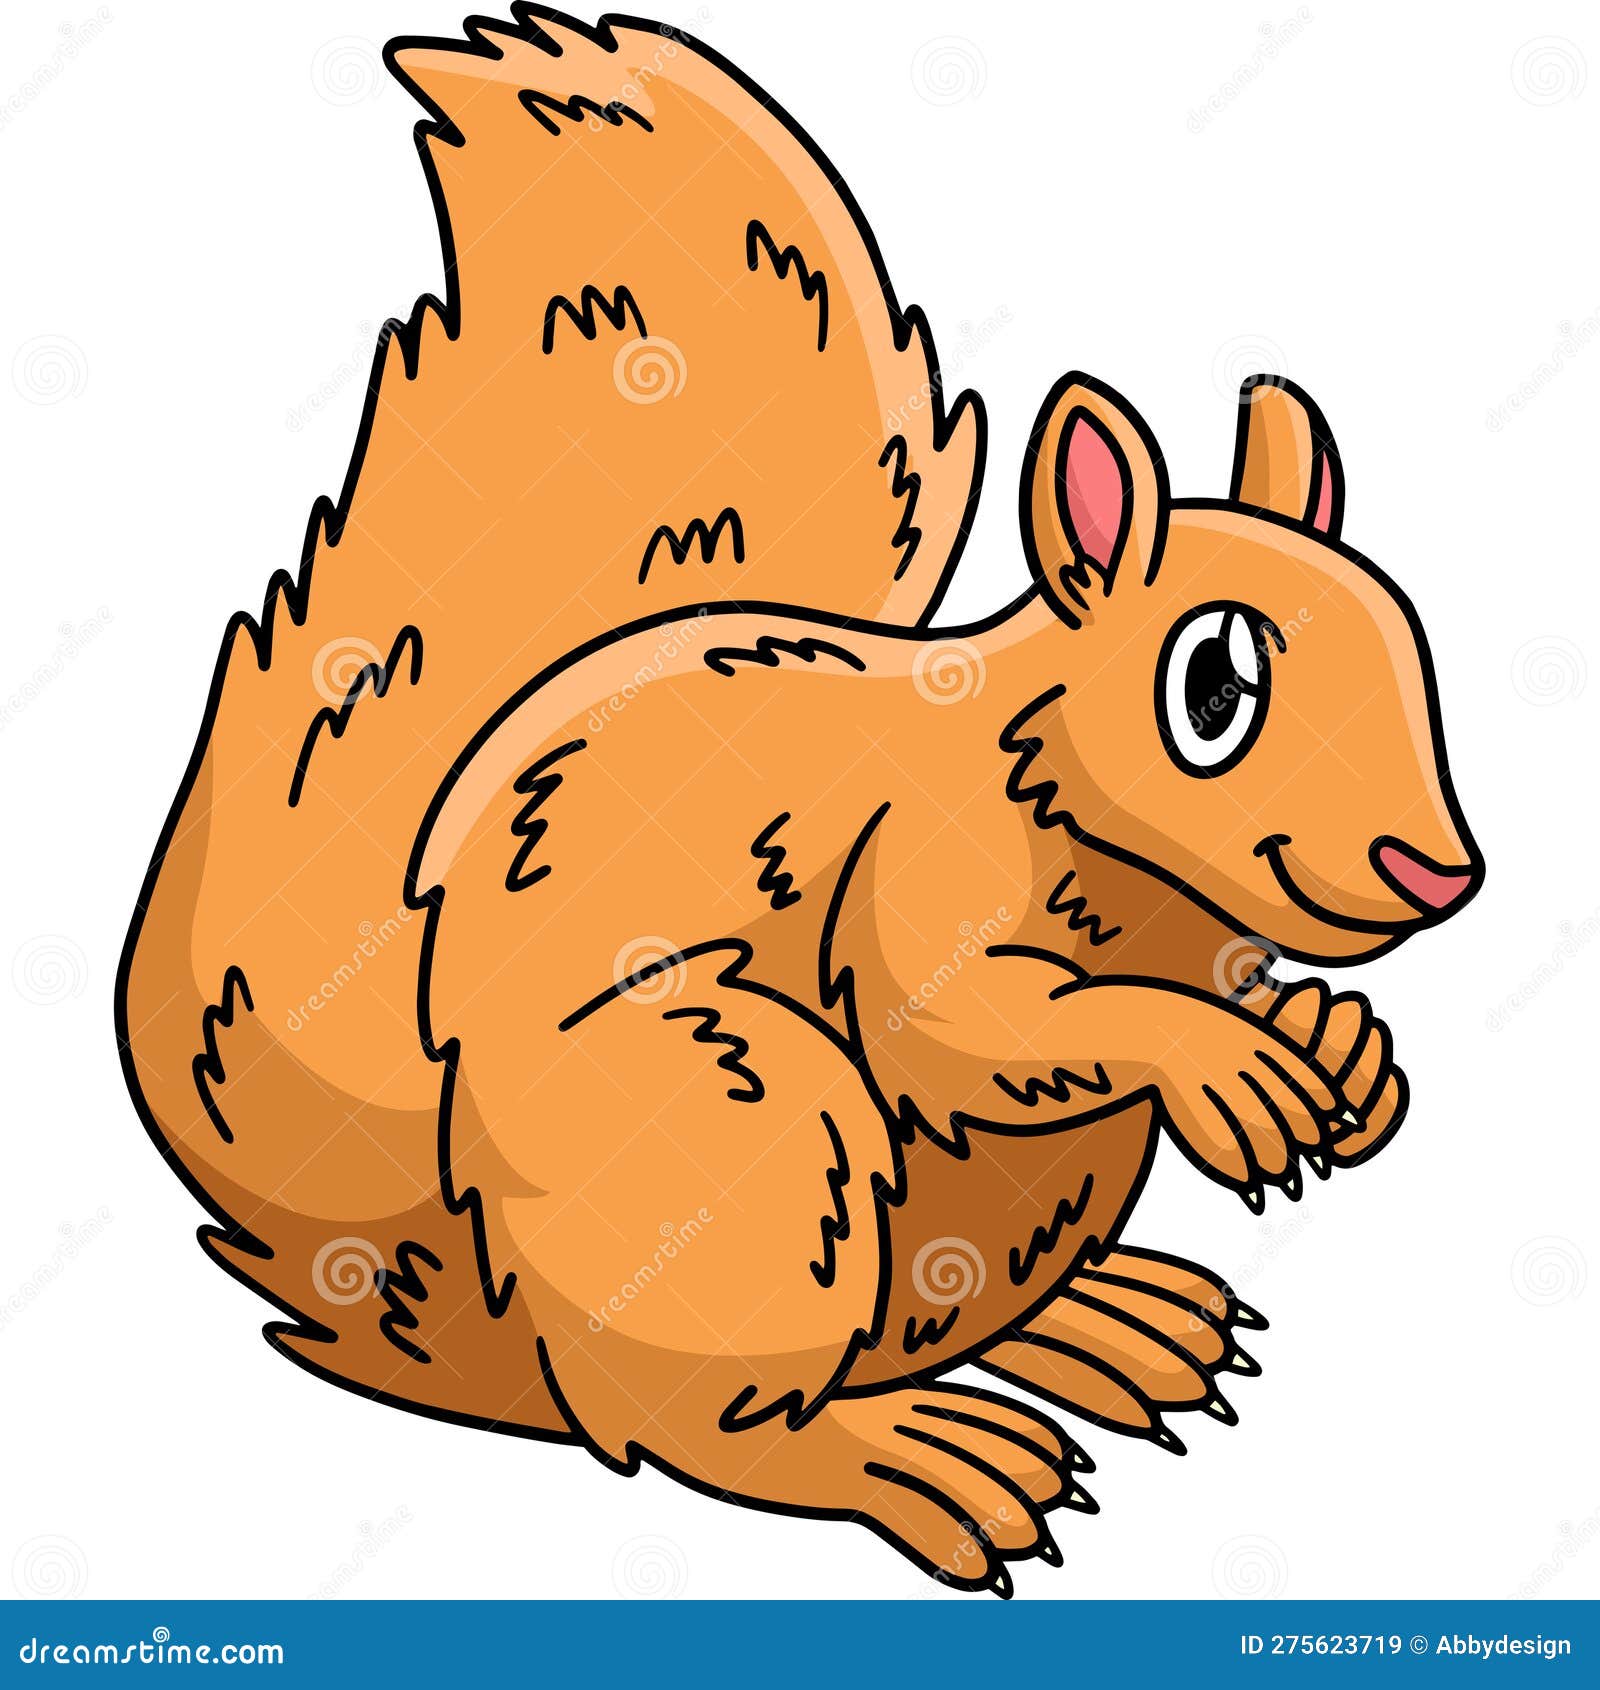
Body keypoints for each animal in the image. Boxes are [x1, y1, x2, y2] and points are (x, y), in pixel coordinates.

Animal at [116, 8, 1484, 1594]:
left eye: (1409, 638)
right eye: (1213, 688)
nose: (1438, 873)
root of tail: (494, 1309)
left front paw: (1338, 1042)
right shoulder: (919, 866)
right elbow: (971, 1029)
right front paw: (1228, 1065)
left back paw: (1110, 1325)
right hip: (752, 1129)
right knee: (723, 1428)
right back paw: (924, 1454)